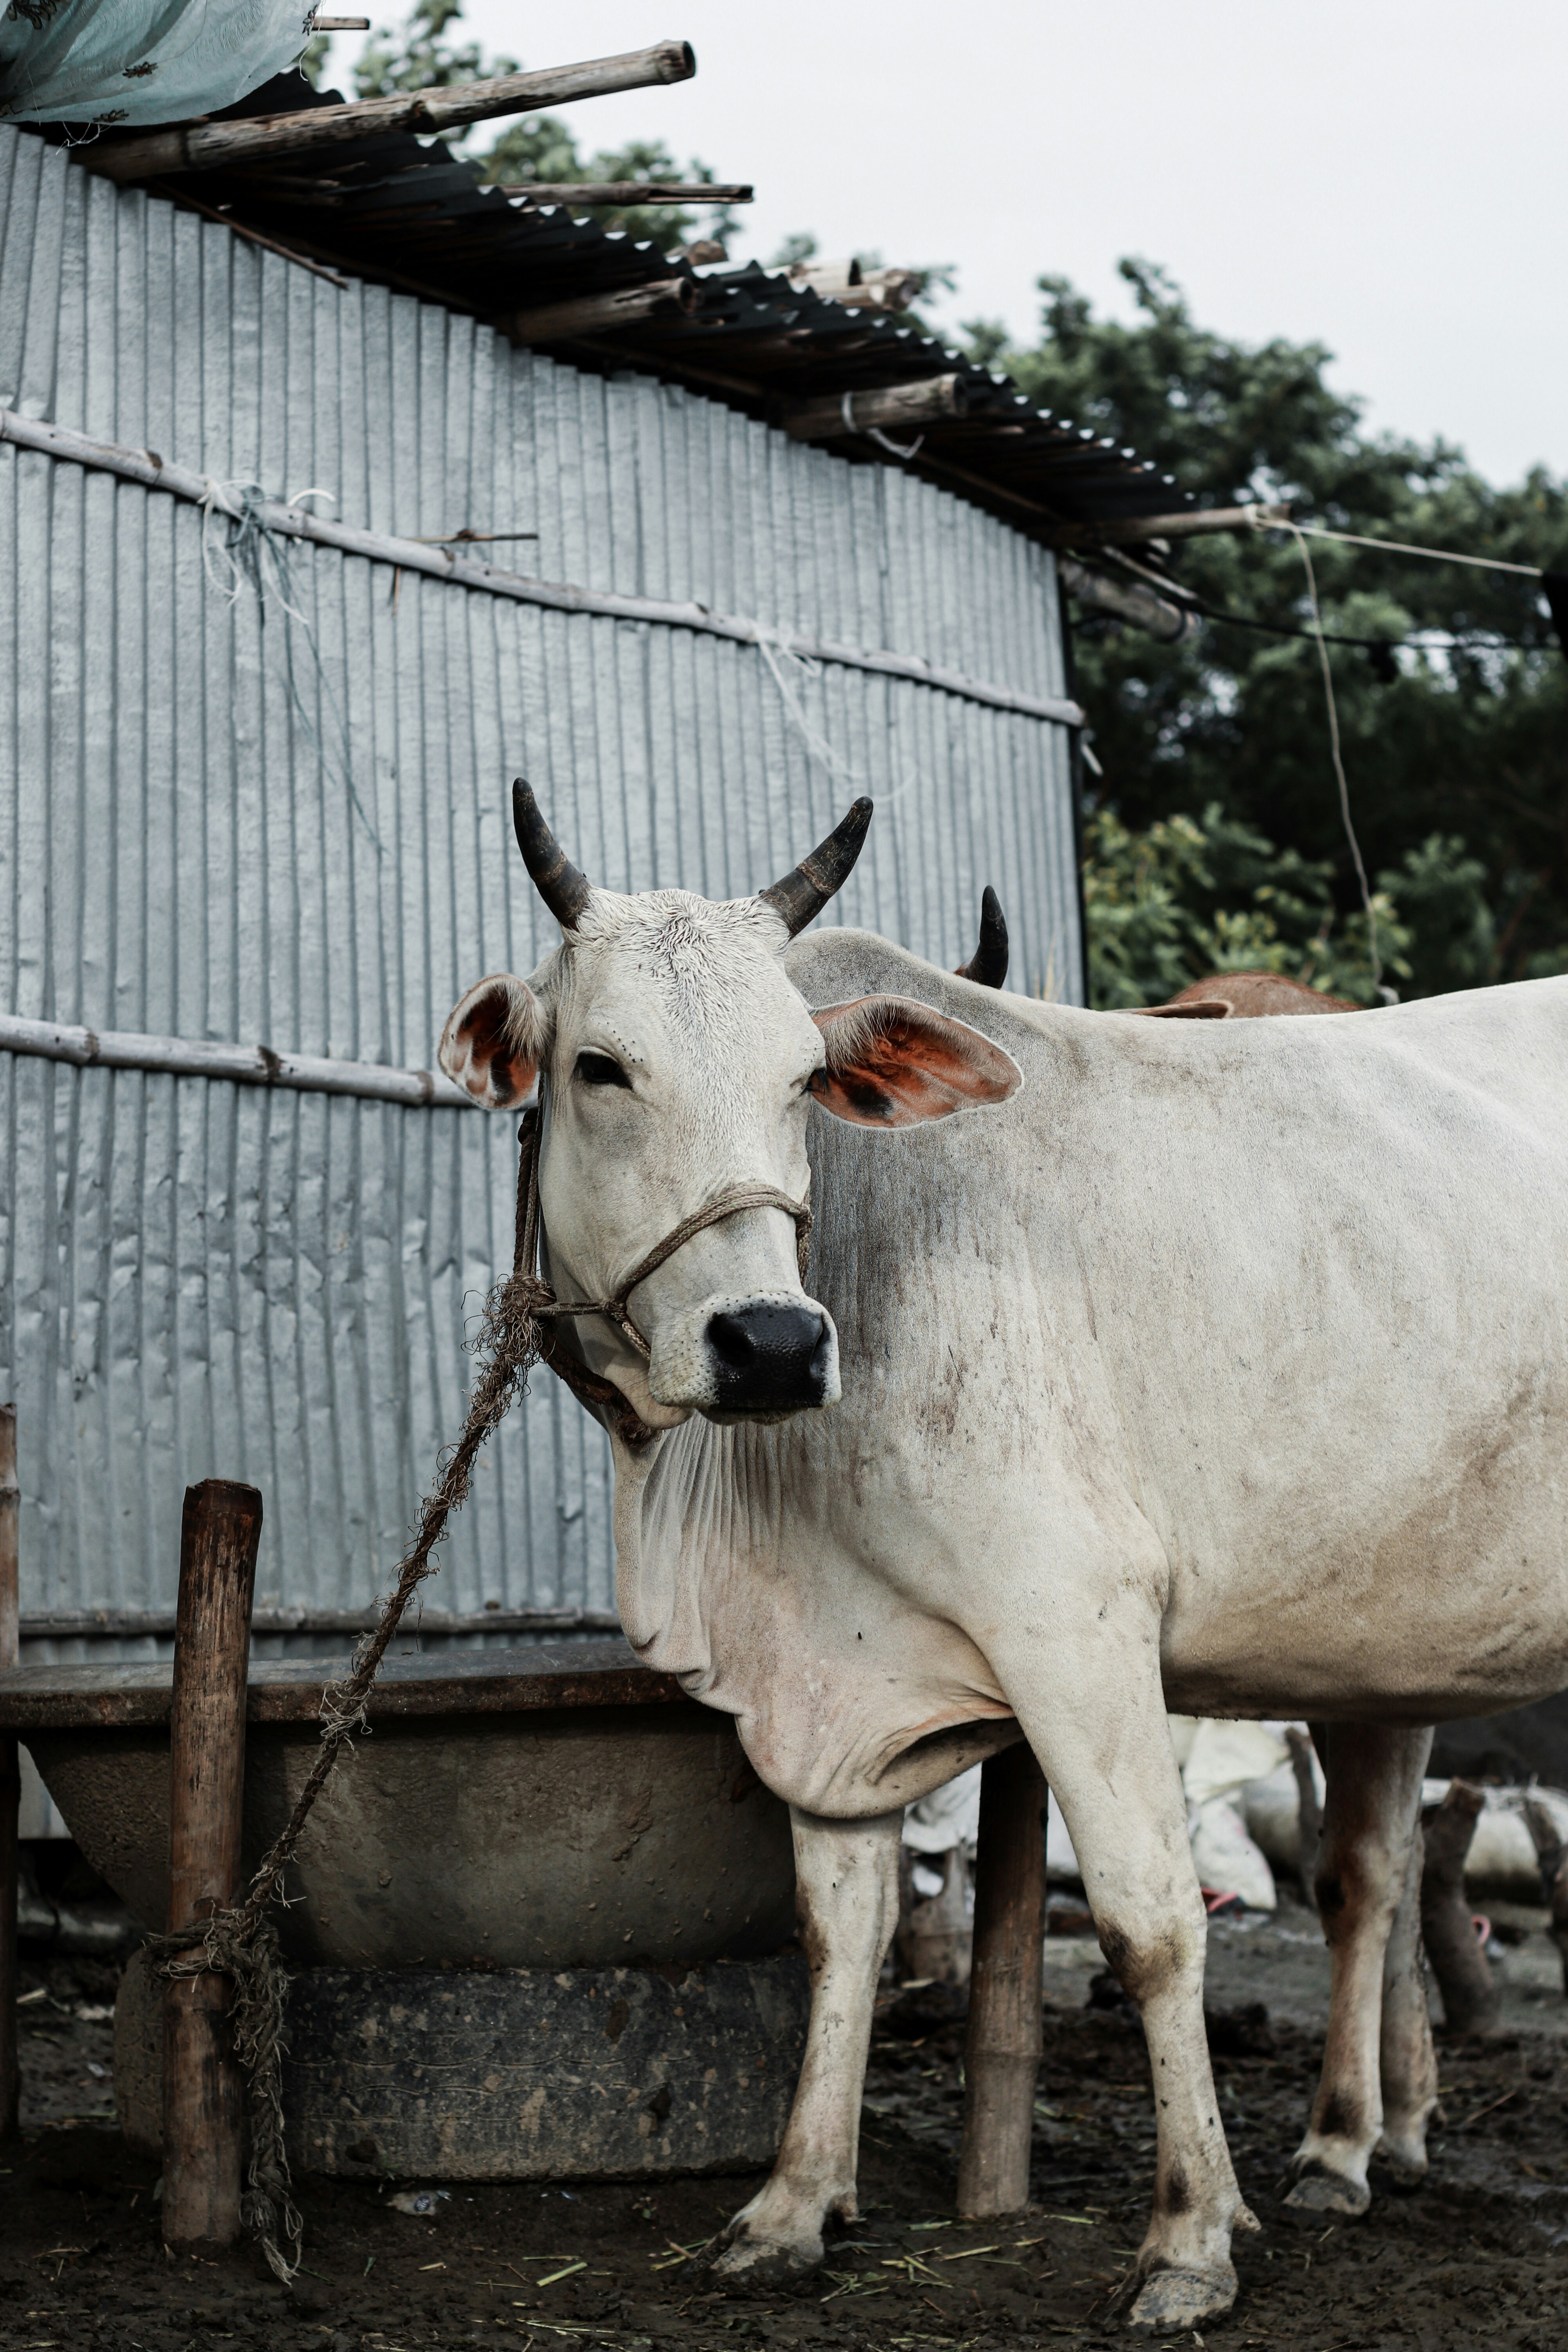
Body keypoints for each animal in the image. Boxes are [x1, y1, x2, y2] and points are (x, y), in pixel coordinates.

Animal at [439, 787, 1568, 2333]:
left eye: (803, 1077)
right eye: (601, 1065)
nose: (771, 1344)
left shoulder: (1076, 1627)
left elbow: (1153, 1922)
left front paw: (1187, 2237)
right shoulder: (834, 1680)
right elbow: (838, 1930)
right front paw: (793, 2204)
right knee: (1371, 1871)